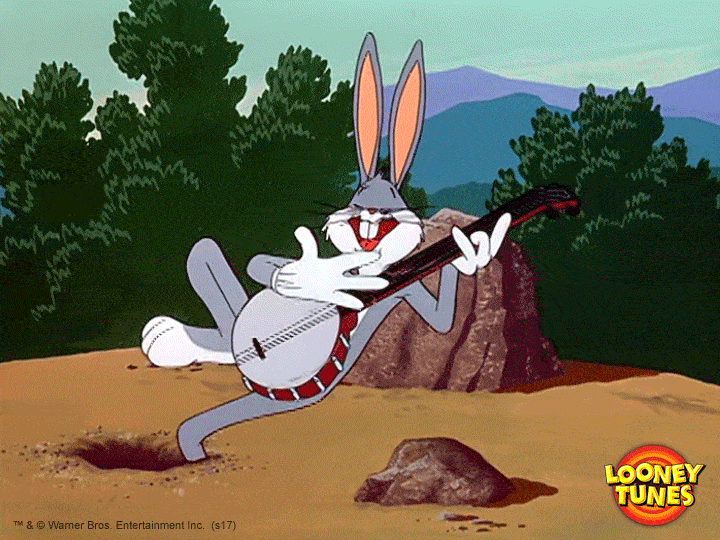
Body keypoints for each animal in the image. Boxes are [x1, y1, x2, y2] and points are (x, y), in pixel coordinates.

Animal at [141, 33, 511, 462]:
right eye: (359, 204)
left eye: (389, 214)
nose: (372, 213)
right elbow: (261, 262)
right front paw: (315, 278)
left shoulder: (405, 289)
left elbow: (440, 319)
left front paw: (472, 249)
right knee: (203, 259)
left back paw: (169, 344)